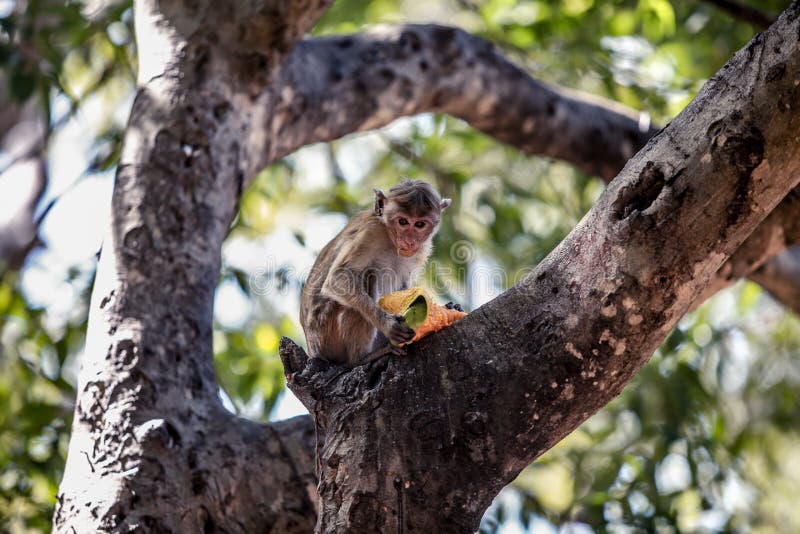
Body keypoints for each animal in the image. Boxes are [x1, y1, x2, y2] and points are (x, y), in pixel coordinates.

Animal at [300, 179, 451, 367]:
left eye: (419, 224)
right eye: (403, 221)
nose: (409, 241)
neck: (390, 237)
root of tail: (312, 349)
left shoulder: (421, 249)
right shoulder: (371, 233)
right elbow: (338, 278)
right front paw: (388, 324)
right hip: (328, 335)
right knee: (366, 276)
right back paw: (363, 358)